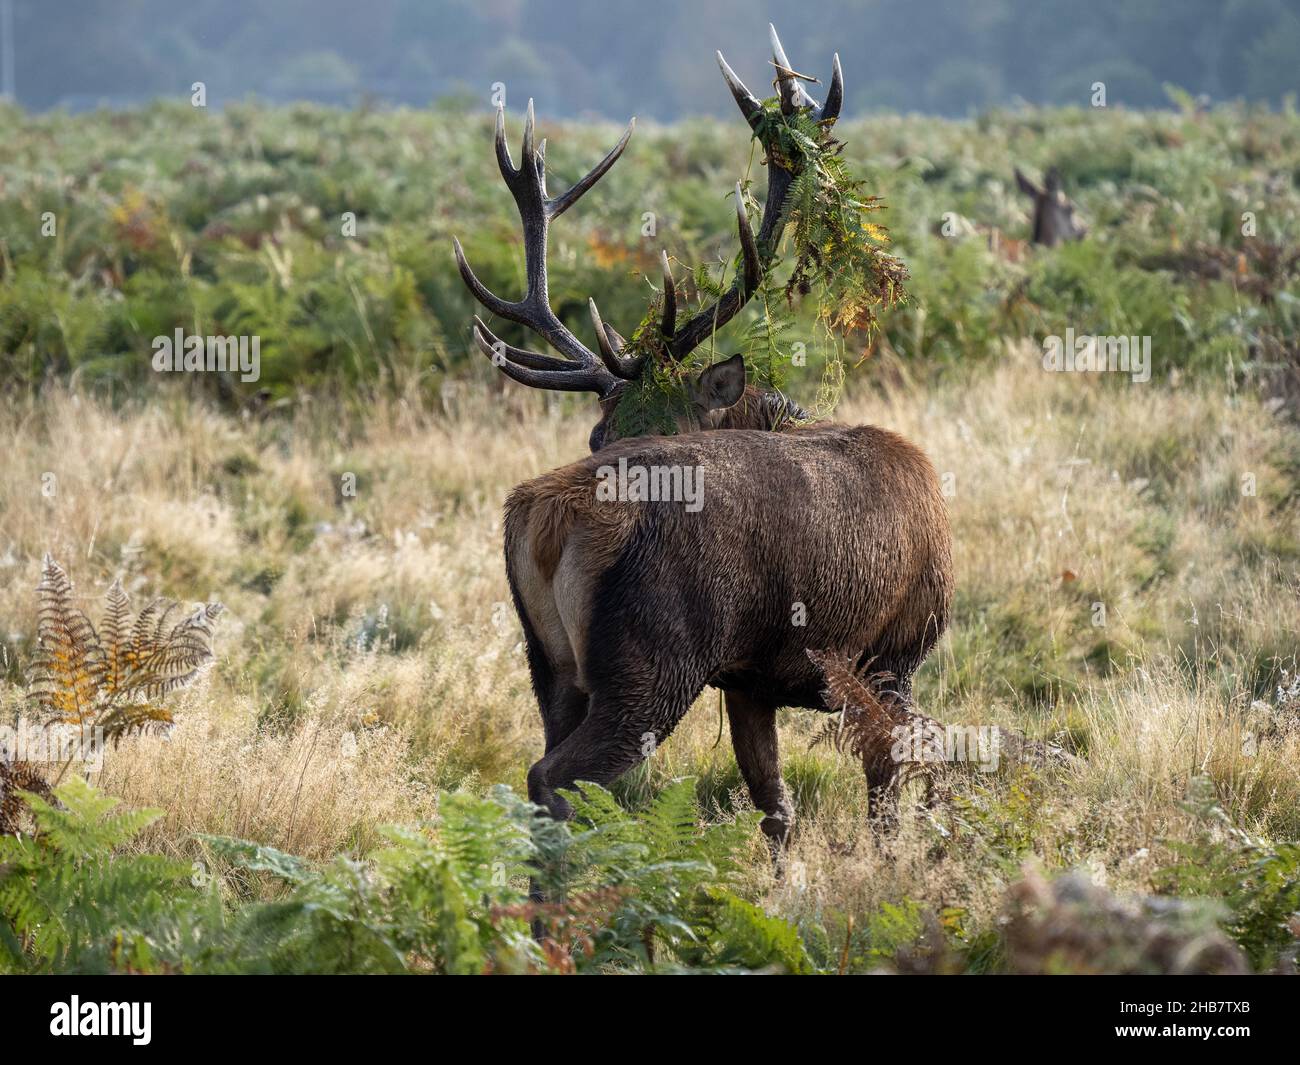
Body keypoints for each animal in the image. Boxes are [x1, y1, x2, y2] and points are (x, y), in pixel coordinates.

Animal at [453, 26, 953, 852]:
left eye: (599, 430)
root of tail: (547, 518)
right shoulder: (891, 652)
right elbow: (896, 775)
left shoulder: (750, 678)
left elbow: (777, 807)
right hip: (654, 659)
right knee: (553, 775)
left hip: (549, 663)